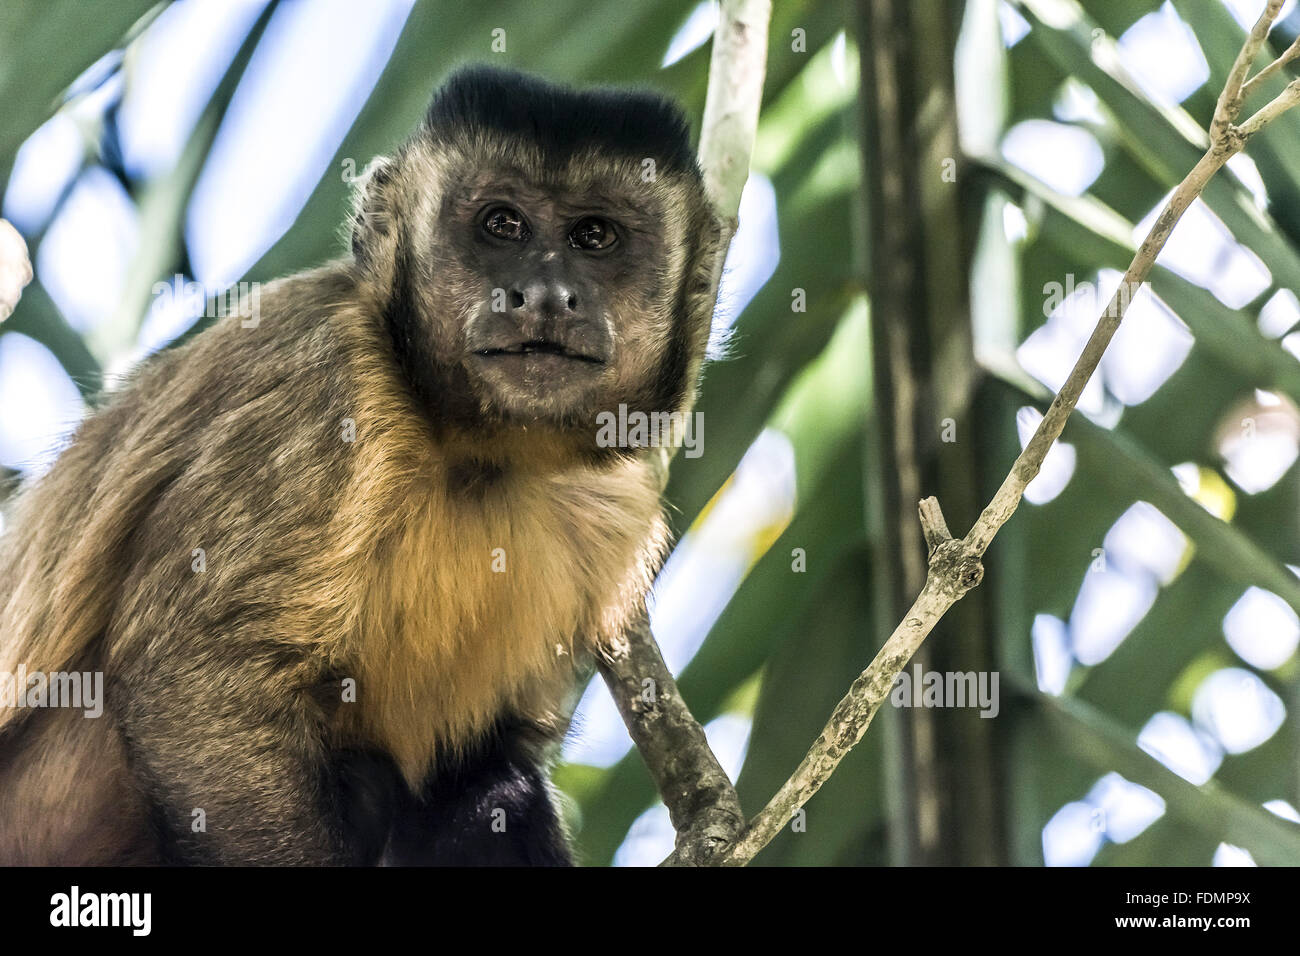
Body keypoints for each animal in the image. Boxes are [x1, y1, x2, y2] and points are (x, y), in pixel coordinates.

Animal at [0, 64, 723, 865]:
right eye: (502, 224)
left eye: (595, 236)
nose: (544, 295)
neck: (474, 453)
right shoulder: (328, 385)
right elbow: (193, 688)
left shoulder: (619, 516)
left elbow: (487, 762)